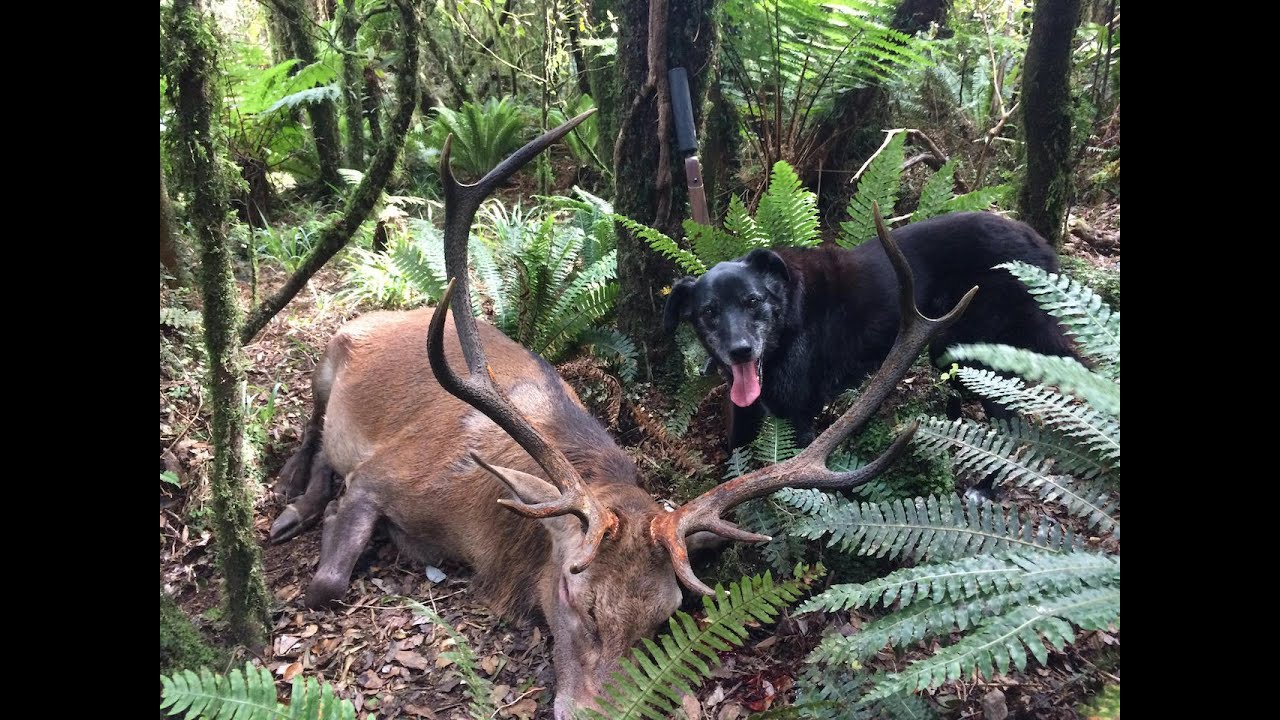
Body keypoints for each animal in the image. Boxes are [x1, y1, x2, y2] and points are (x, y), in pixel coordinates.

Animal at [268, 110, 976, 719]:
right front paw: (312, 517)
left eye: (664, 620)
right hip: (329, 355)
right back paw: (289, 501)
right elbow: (326, 582)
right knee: (313, 427)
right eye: (573, 598)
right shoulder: (384, 475)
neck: (480, 533)